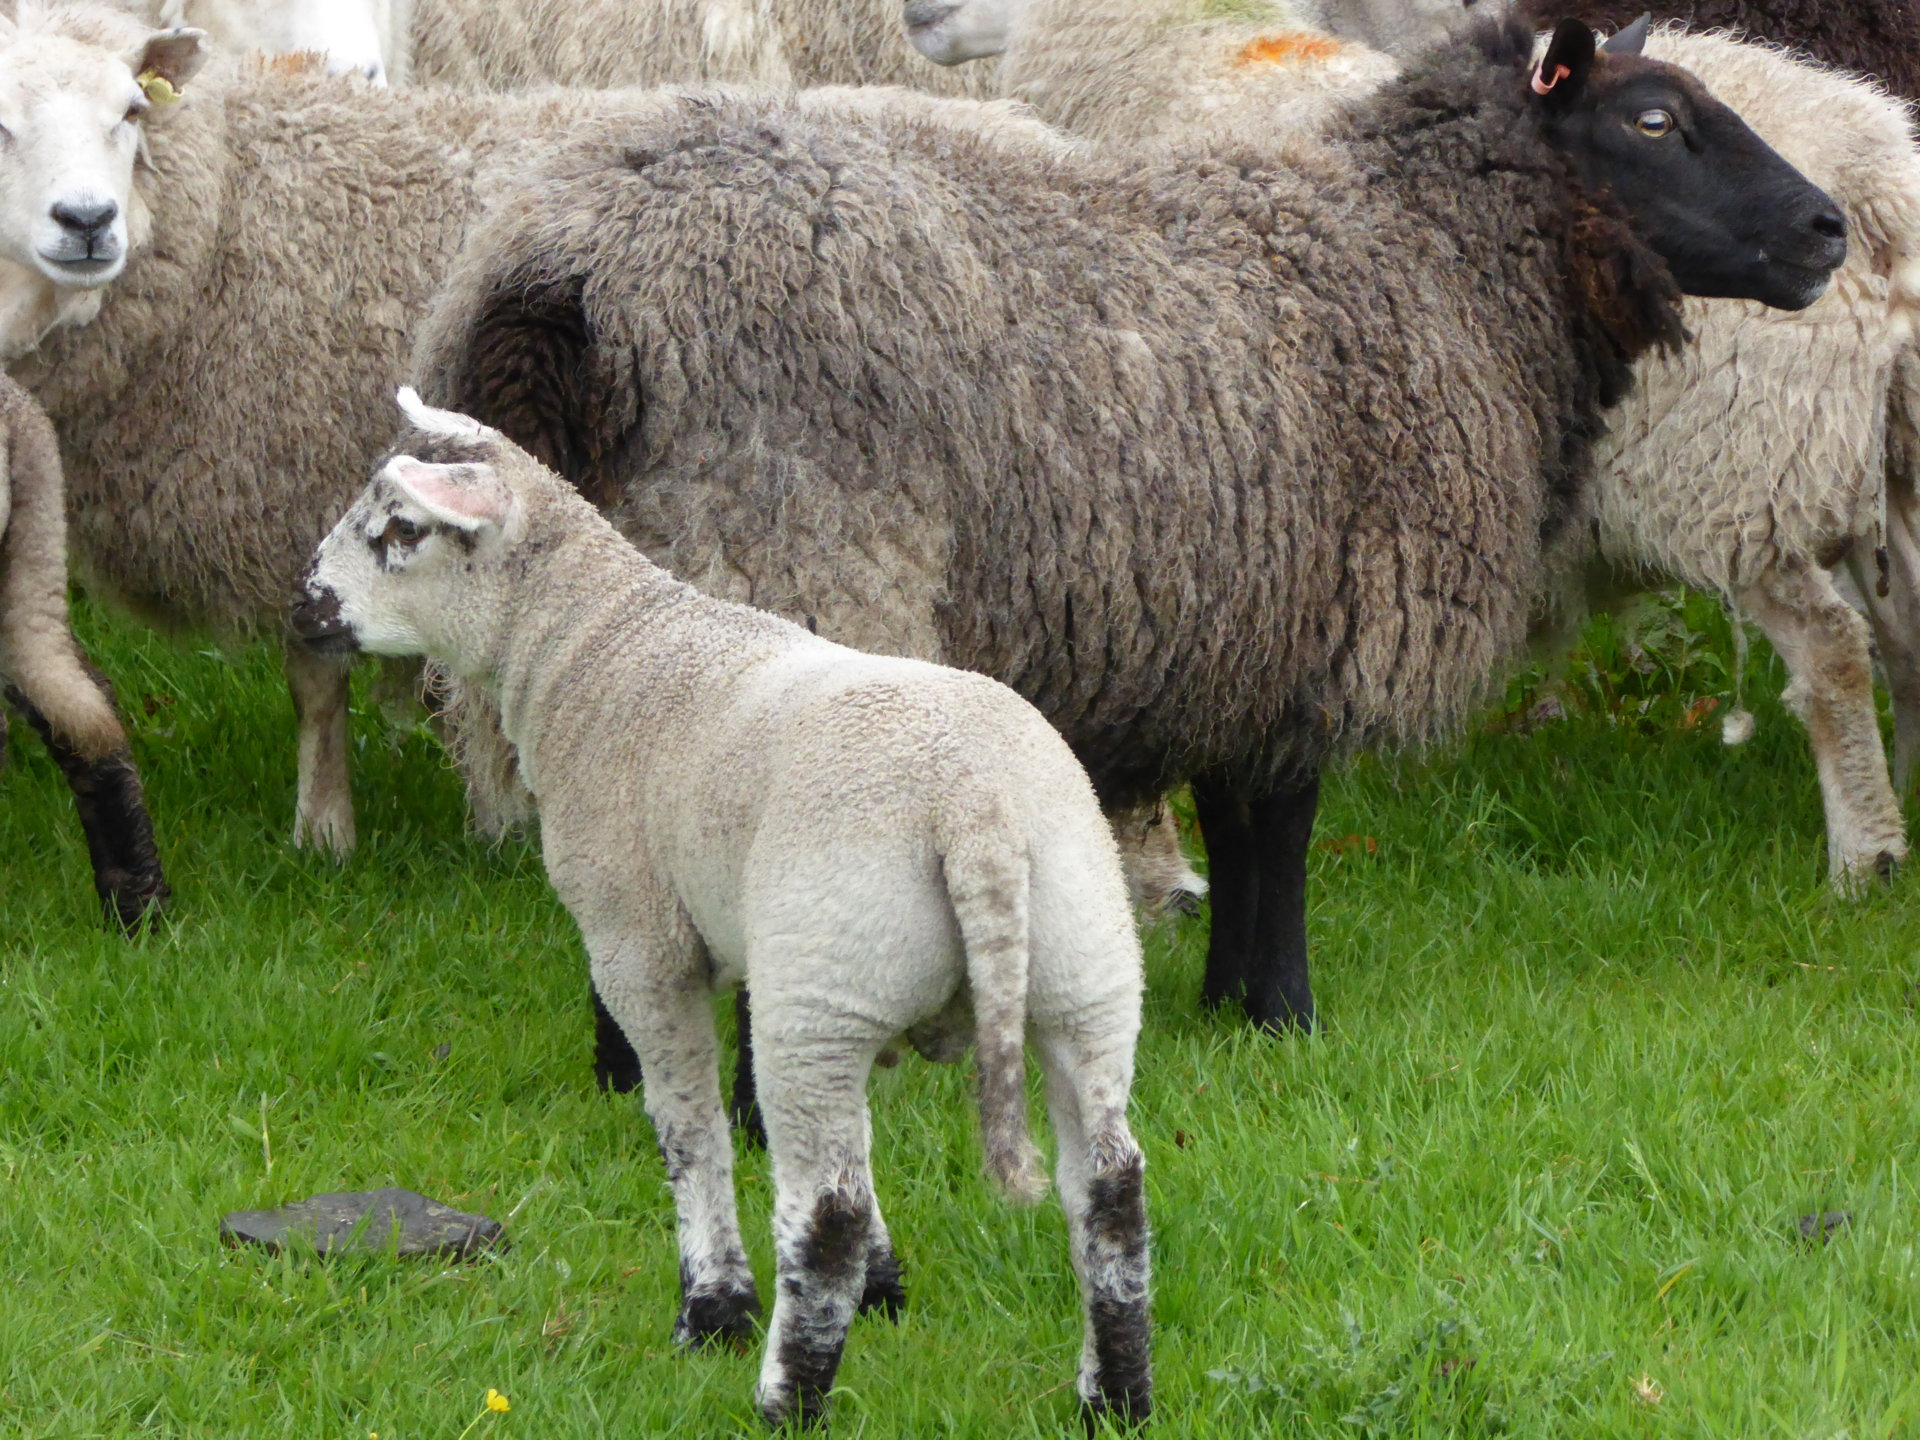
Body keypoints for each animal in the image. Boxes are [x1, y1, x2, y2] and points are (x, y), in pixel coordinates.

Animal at [293, 389, 1153, 1430]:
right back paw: (1114, 1400)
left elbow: (689, 1126)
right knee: (1107, 1189)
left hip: (825, 985)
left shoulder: (638, 944)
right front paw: (885, 1288)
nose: (301, 607)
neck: (591, 648)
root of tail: (975, 809)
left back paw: (786, 1399)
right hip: (1078, 964)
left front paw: (714, 1306)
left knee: (825, 1211)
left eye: (402, 530)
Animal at [409, 15, 1844, 1049]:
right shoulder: (1315, 614)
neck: (1435, 261)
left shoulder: (1238, 622)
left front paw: (1226, 1009)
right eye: (1654, 119)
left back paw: (635, 1064)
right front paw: (1284, 1017)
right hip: (779, 547)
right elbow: (1279, 827)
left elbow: (1241, 816)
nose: (1828, 228)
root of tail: (564, 272)